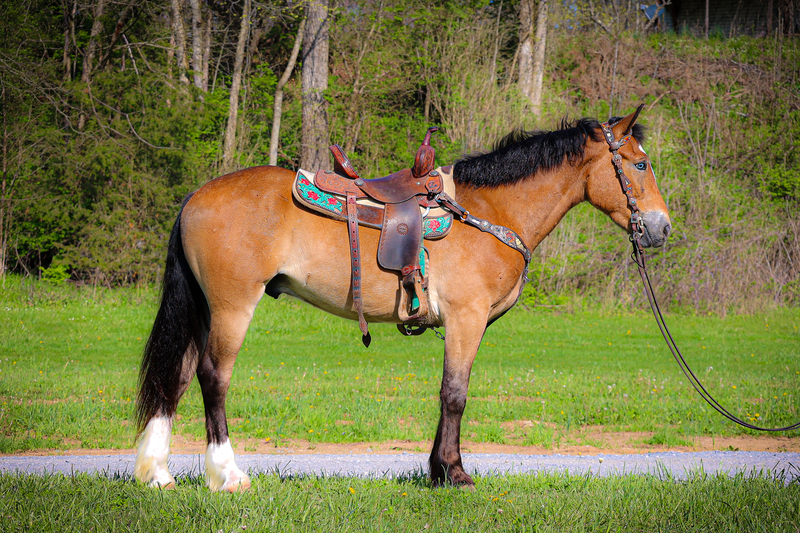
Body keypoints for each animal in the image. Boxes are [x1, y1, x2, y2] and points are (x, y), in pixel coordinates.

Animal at [134, 108, 671, 491]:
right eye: (640, 164)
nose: (662, 228)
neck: (490, 211)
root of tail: (195, 197)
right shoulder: (466, 318)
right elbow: (455, 394)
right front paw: (455, 473)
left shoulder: (464, 324)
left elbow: (447, 392)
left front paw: (437, 470)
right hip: (231, 307)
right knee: (212, 377)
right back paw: (227, 474)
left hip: (205, 309)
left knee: (178, 375)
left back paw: (158, 473)